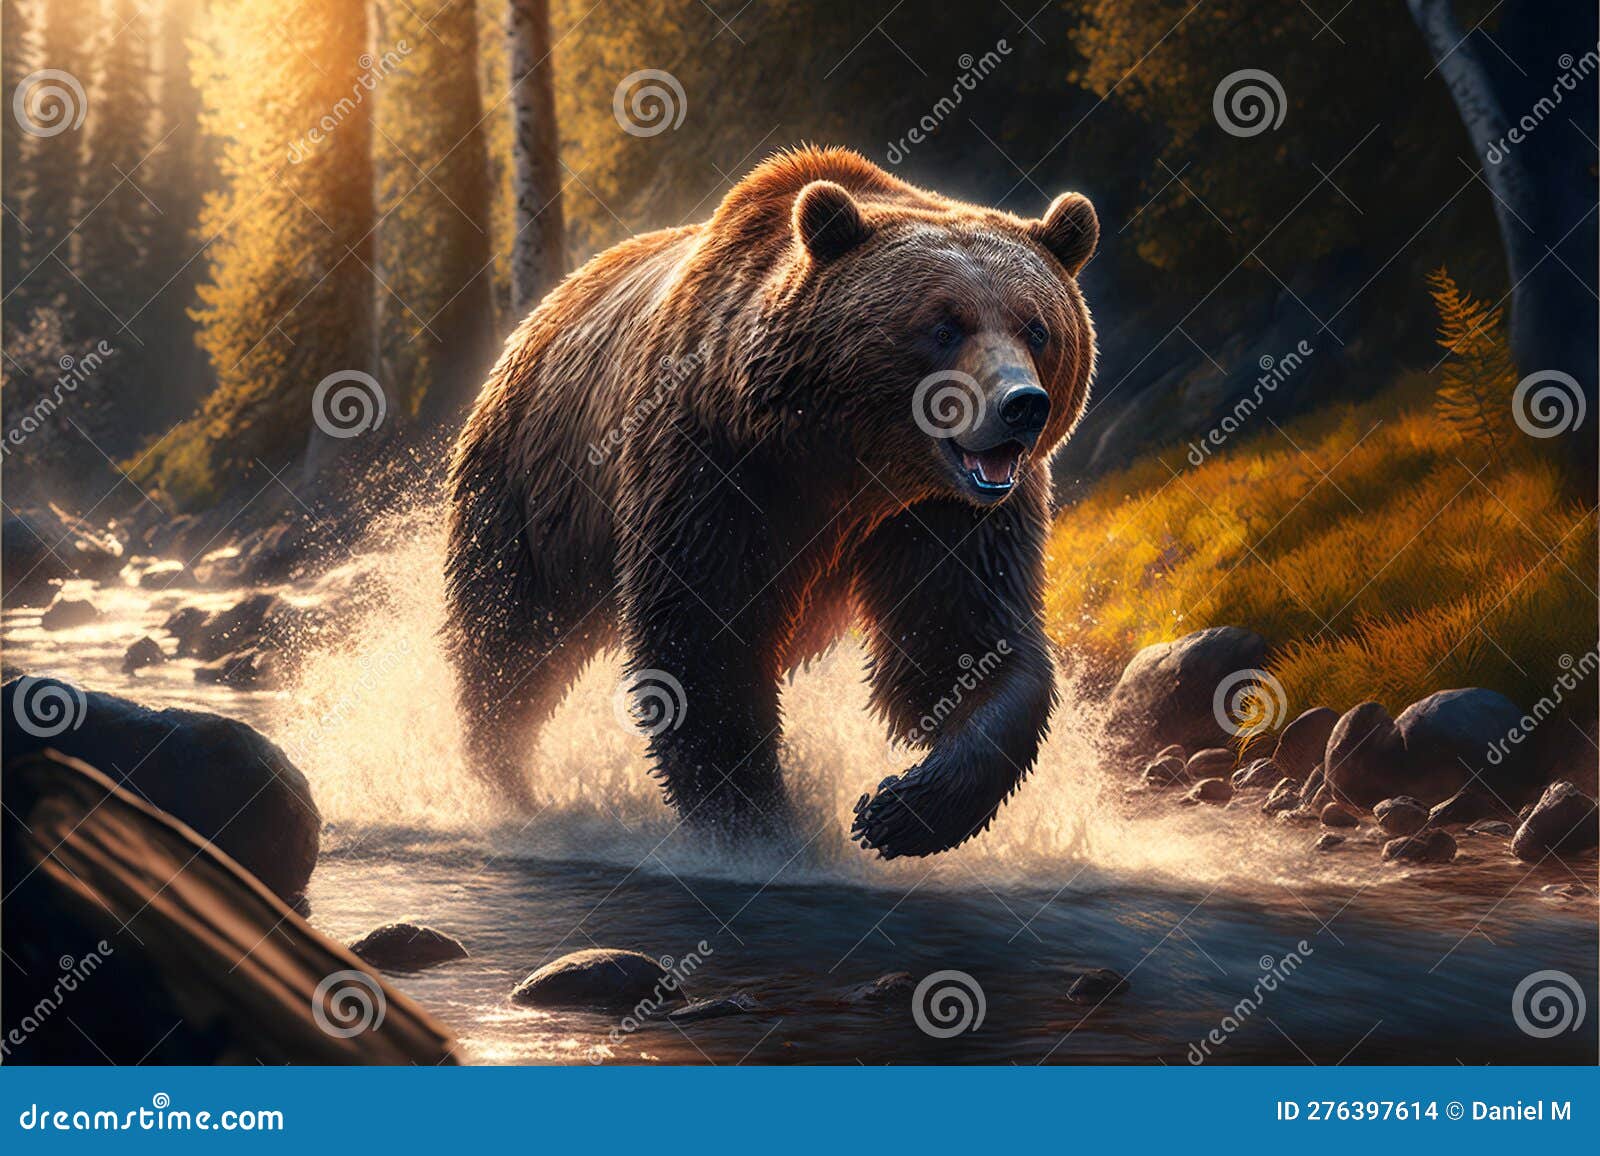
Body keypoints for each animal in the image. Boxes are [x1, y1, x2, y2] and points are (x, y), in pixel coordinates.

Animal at [444, 146, 1098, 859]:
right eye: (944, 326)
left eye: (1037, 328)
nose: (1021, 405)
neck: (853, 460)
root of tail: (541, 313)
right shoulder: (719, 464)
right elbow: (703, 636)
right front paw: (761, 824)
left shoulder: (943, 516)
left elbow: (962, 642)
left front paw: (900, 807)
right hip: (533, 485)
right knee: (508, 634)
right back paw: (503, 776)